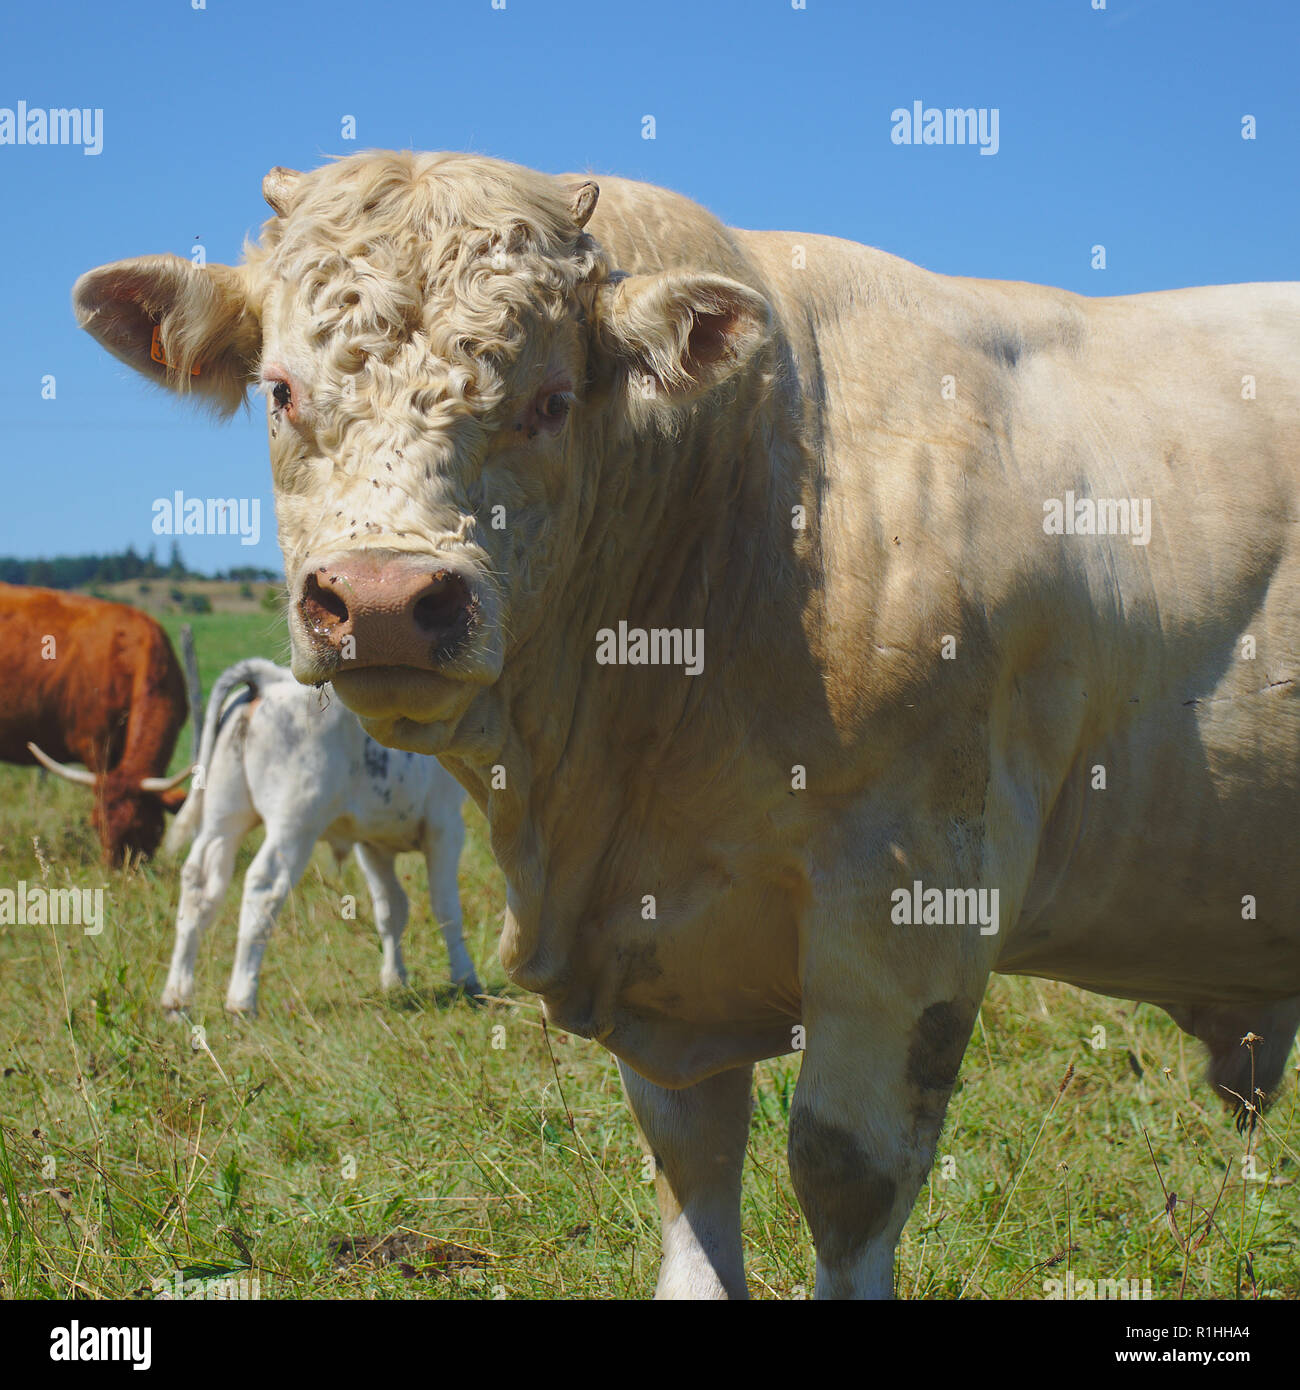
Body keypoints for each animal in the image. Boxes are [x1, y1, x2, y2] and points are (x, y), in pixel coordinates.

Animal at [161, 657, 480, 1014]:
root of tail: (271, 678)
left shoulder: (372, 841)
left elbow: (390, 909)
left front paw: (394, 978)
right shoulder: (444, 824)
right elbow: (446, 908)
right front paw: (466, 978)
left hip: (223, 817)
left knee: (199, 885)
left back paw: (177, 997)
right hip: (294, 824)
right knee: (263, 886)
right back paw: (241, 998)